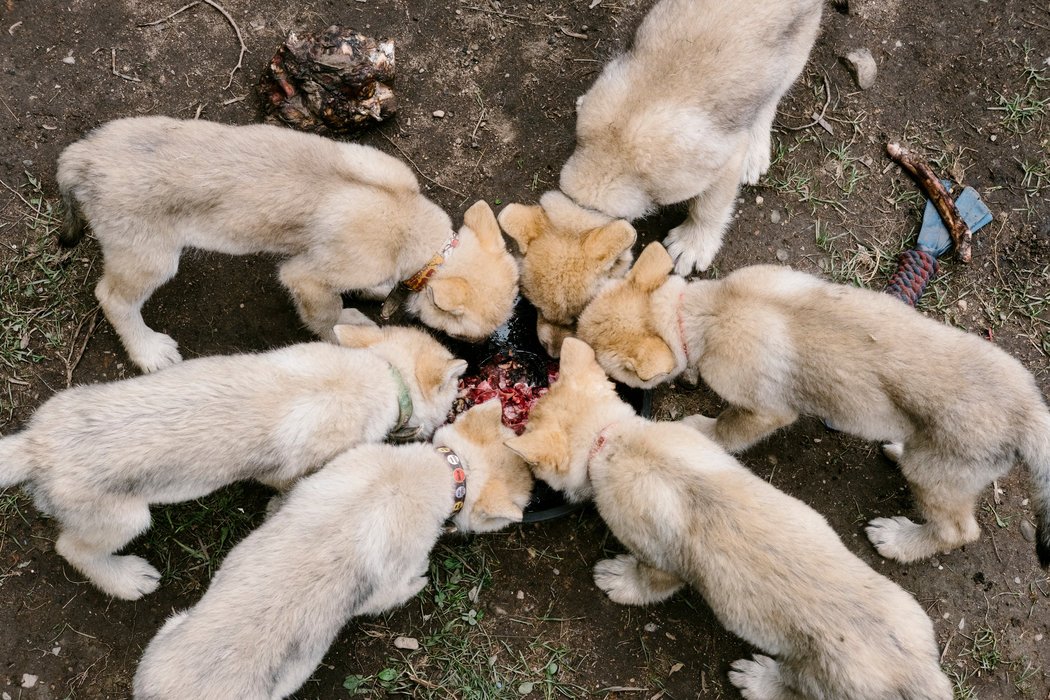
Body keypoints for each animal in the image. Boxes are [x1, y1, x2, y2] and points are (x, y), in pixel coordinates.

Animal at [0, 322, 467, 600]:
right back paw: (128, 579)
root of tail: (35, 447)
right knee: (72, 549)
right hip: (123, 520)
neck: (382, 375)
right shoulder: (294, 472)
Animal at [57, 116, 519, 372]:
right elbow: (328, 318)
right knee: (113, 298)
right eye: (469, 332)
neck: (404, 216)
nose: (491, 352)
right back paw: (148, 351)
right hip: (150, 257)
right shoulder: (304, 277)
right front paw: (349, 326)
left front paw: (375, 291)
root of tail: (83, 157)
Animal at [505, 338, 953, 700]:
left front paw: (618, 581)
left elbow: (646, 582)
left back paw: (756, 679)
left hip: (814, 678)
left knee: (791, 689)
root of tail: (914, 672)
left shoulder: (662, 563)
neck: (614, 438)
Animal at [576, 242, 1050, 566]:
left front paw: (701, 429)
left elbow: (725, 429)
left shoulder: (765, 412)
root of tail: (1029, 412)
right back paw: (896, 449)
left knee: (957, 531)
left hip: (938, 478)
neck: (708, 311)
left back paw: (899, 541)